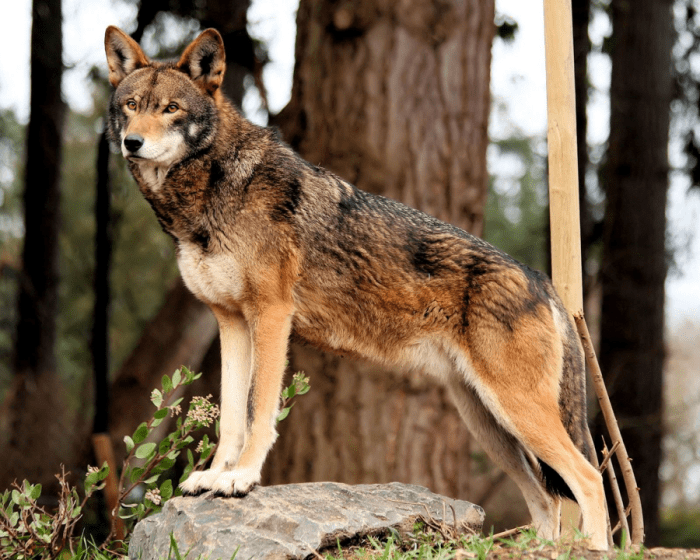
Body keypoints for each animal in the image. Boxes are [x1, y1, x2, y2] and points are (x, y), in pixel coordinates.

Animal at [104, 26, 608, 549]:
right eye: (132, 104)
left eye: (171, 109)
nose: (131, 142)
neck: (212, 189)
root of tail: (541, 280)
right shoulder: (231, 323)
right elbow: (231, 415)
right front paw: (216, 477)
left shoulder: (271, 315)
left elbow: (258, 411)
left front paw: (241, 479)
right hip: (490, 424)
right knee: (546, 498)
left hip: (517, 413)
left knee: (588, 479)